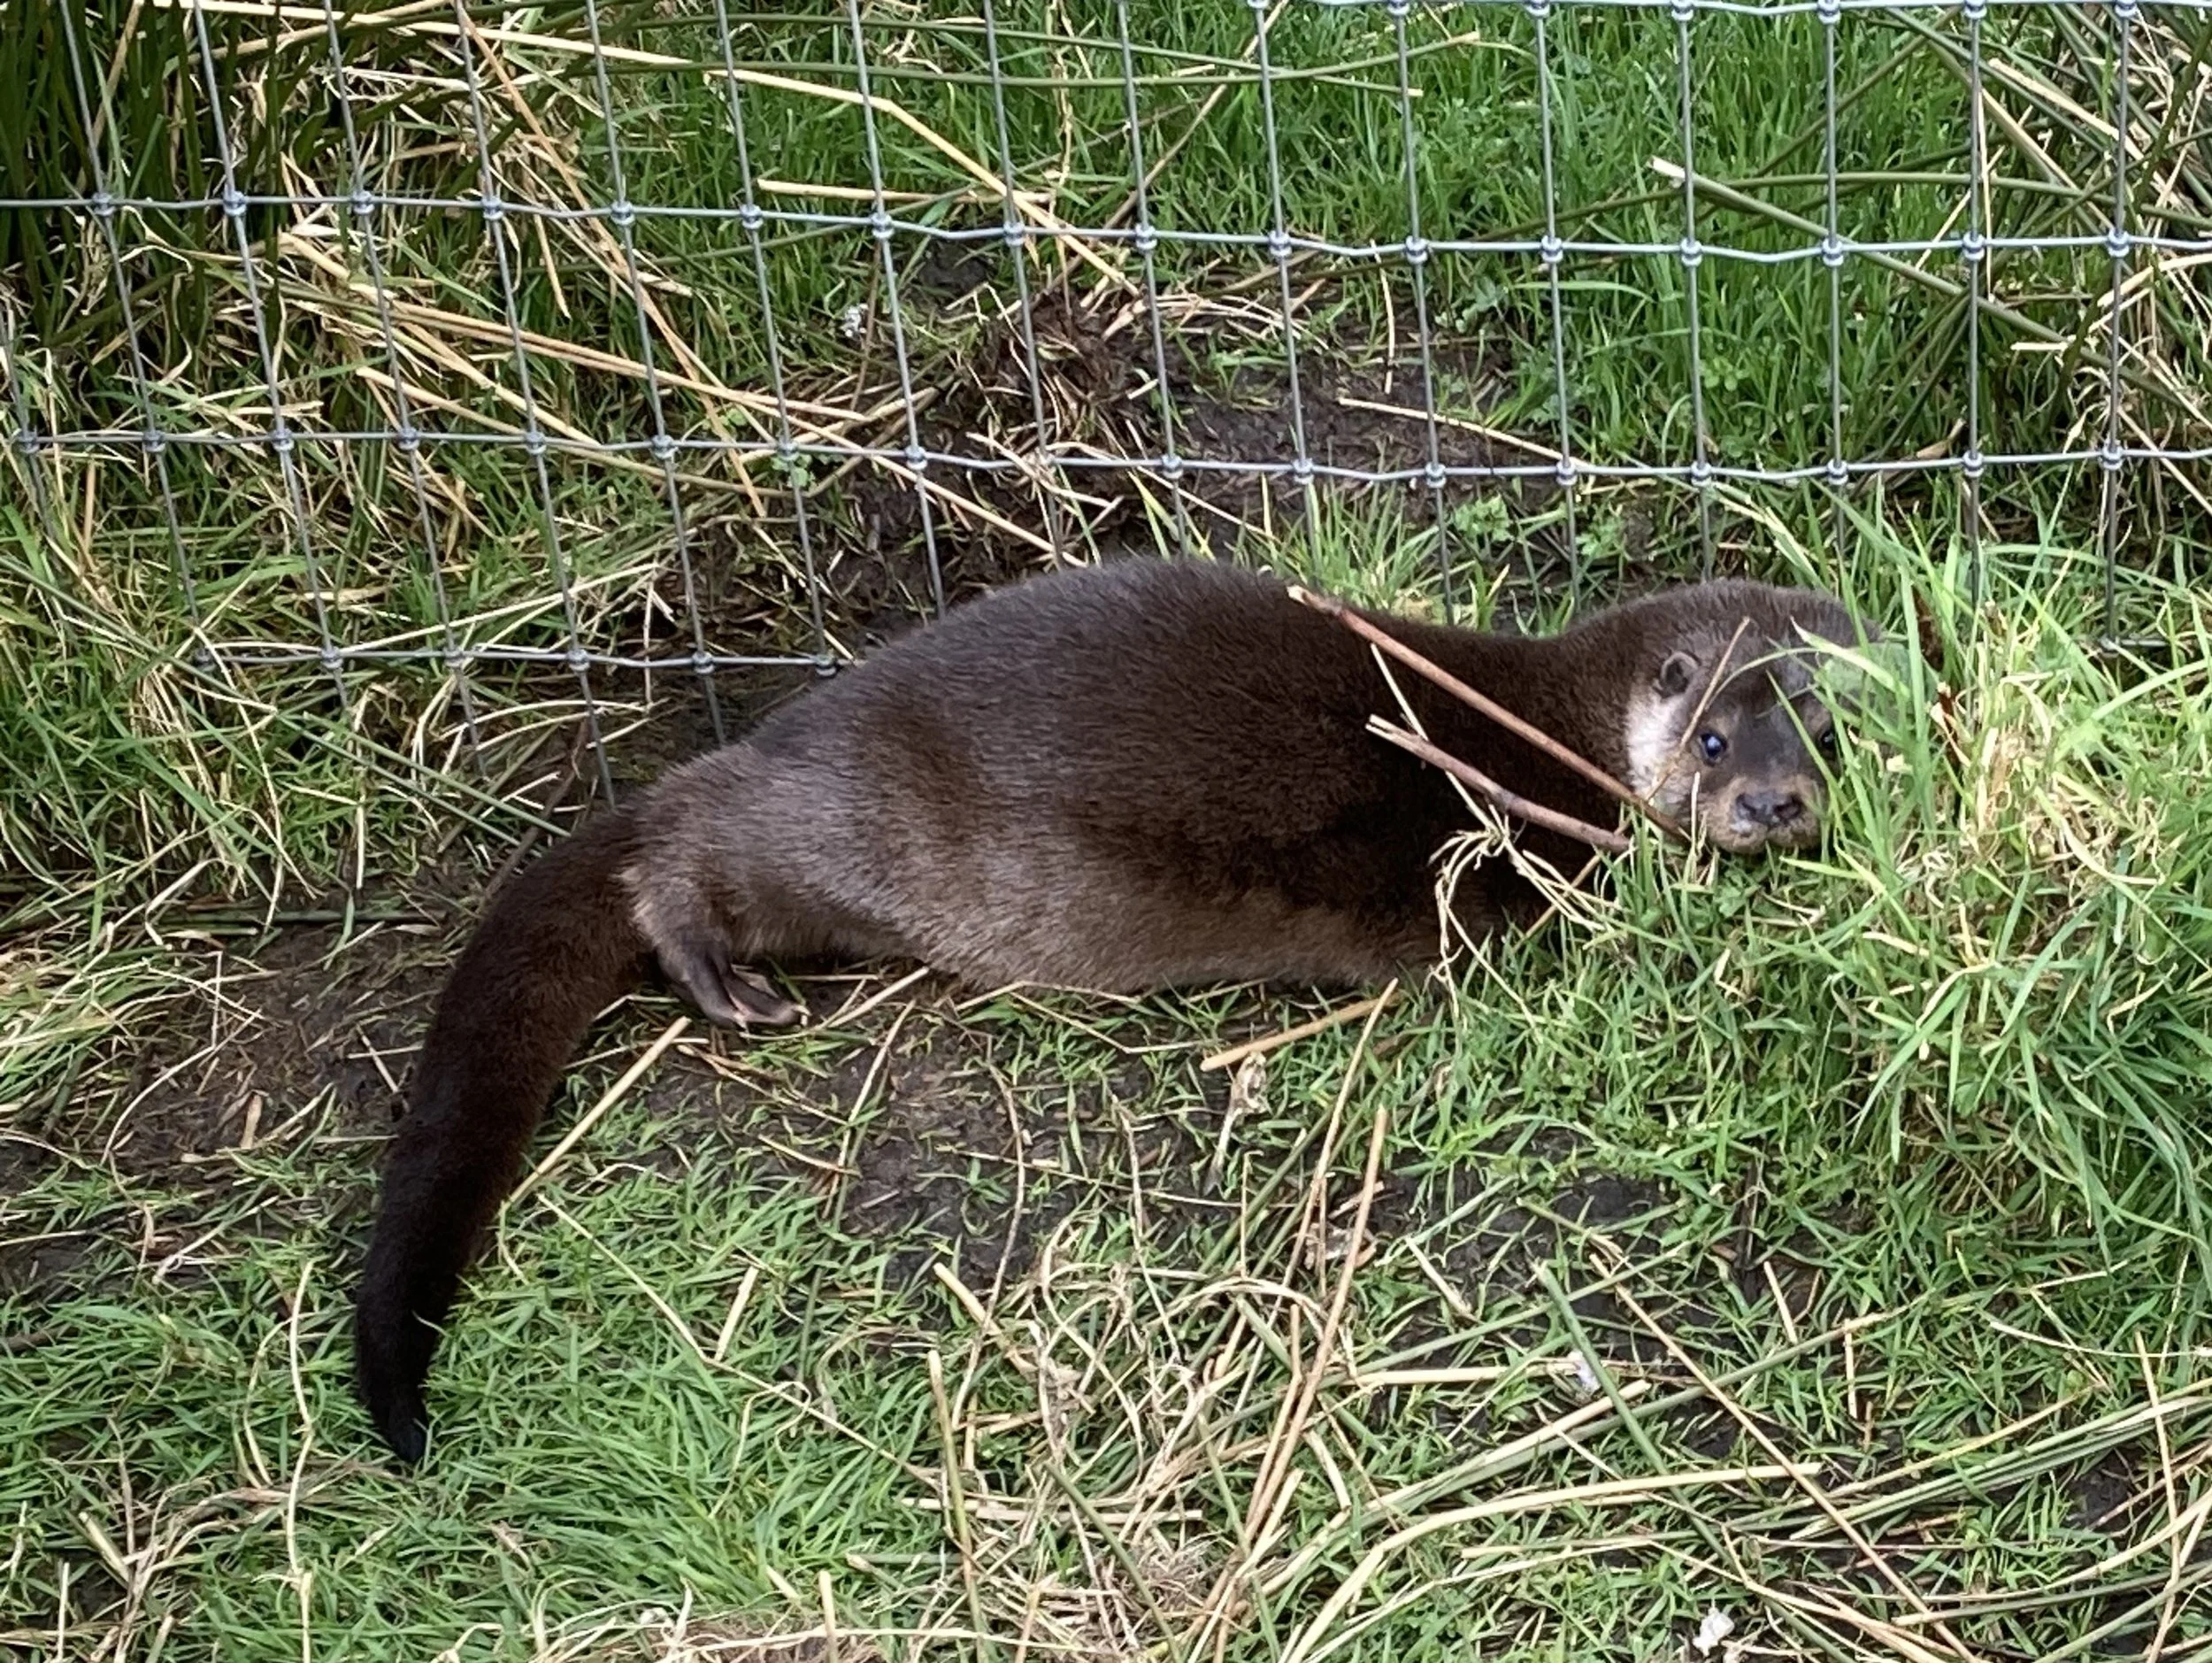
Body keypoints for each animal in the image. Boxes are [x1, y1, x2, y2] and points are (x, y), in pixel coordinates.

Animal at [354, 557, 1860, 1462]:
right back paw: (723, 977)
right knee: (684, 845)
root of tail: (789, 736)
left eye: (1837, 733)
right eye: (1715, 737)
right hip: (837, 831)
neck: (1558, 730)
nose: (1772, 801)